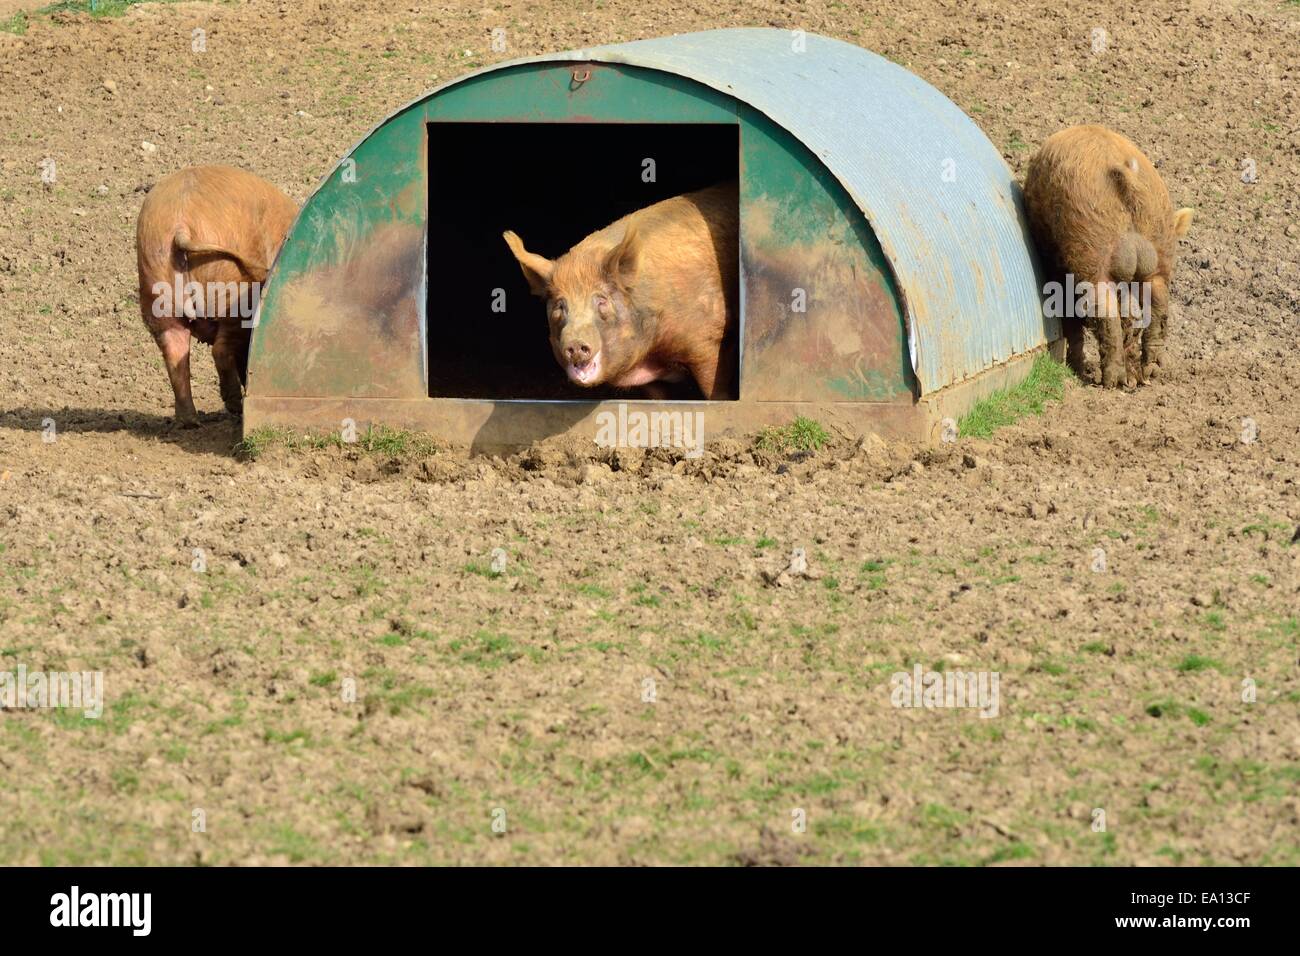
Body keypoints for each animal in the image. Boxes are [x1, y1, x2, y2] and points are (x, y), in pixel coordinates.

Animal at [136, 165, 298, 424]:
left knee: (175, 352)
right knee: (220, 350)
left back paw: (189, 422)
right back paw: (234, 407)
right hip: (234, 293)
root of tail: (182, 224)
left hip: (155, 288)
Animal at [503, 181, 738, 400]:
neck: (652, 358)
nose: (576, 343)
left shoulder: (707, 342)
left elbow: (713, 389)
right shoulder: (648, 378)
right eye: (560, 306)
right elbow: (658, 398)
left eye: (602, 300)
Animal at [1023, 125, 1193, 388]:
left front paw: (1076, 368)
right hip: (1159, 246)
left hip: (1092, 245)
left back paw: (1112, 381)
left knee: (1105, 308)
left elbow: (1071, 318)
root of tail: (1122, 168)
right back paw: (1147, 374)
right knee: (1158, 302)